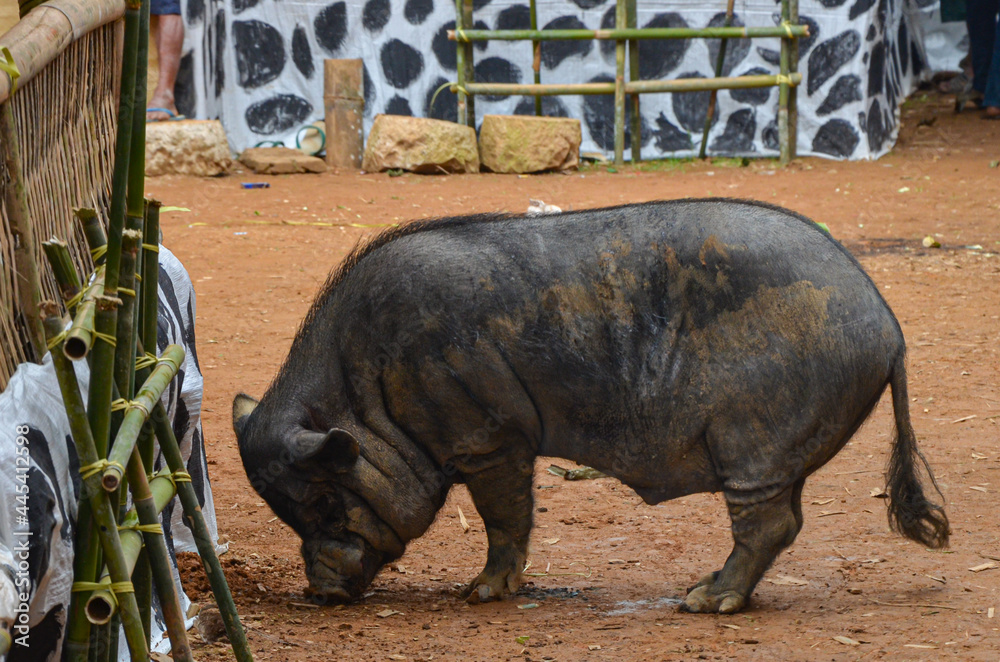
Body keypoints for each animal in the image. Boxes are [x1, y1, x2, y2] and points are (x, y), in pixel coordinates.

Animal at [232, 198, 949, 613]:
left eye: (326, 501)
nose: (320, 593)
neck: (368, 386)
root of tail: (889, 329)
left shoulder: (488, 433)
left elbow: (504, 515)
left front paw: (477, 596)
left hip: (753, 434)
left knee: (770, 523)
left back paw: (700, 602)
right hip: (776, 443)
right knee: (786, 519)